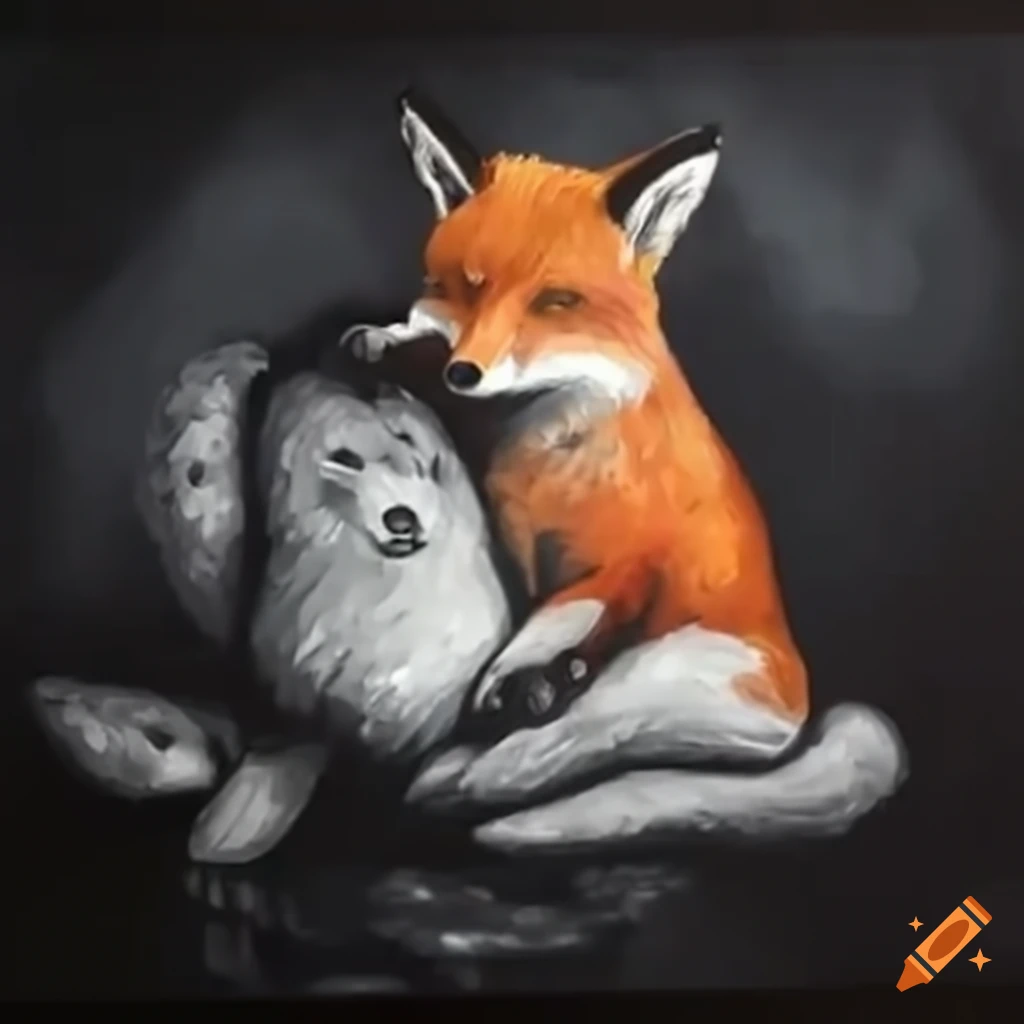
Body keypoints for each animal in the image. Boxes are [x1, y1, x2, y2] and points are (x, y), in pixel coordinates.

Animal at [344, 90, 812, 773]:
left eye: (555, 303)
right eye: (470, 289)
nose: (463, 373)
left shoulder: (630, 561)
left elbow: (556, 619)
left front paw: (515, 681)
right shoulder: (522, 546)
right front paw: (385, 339)